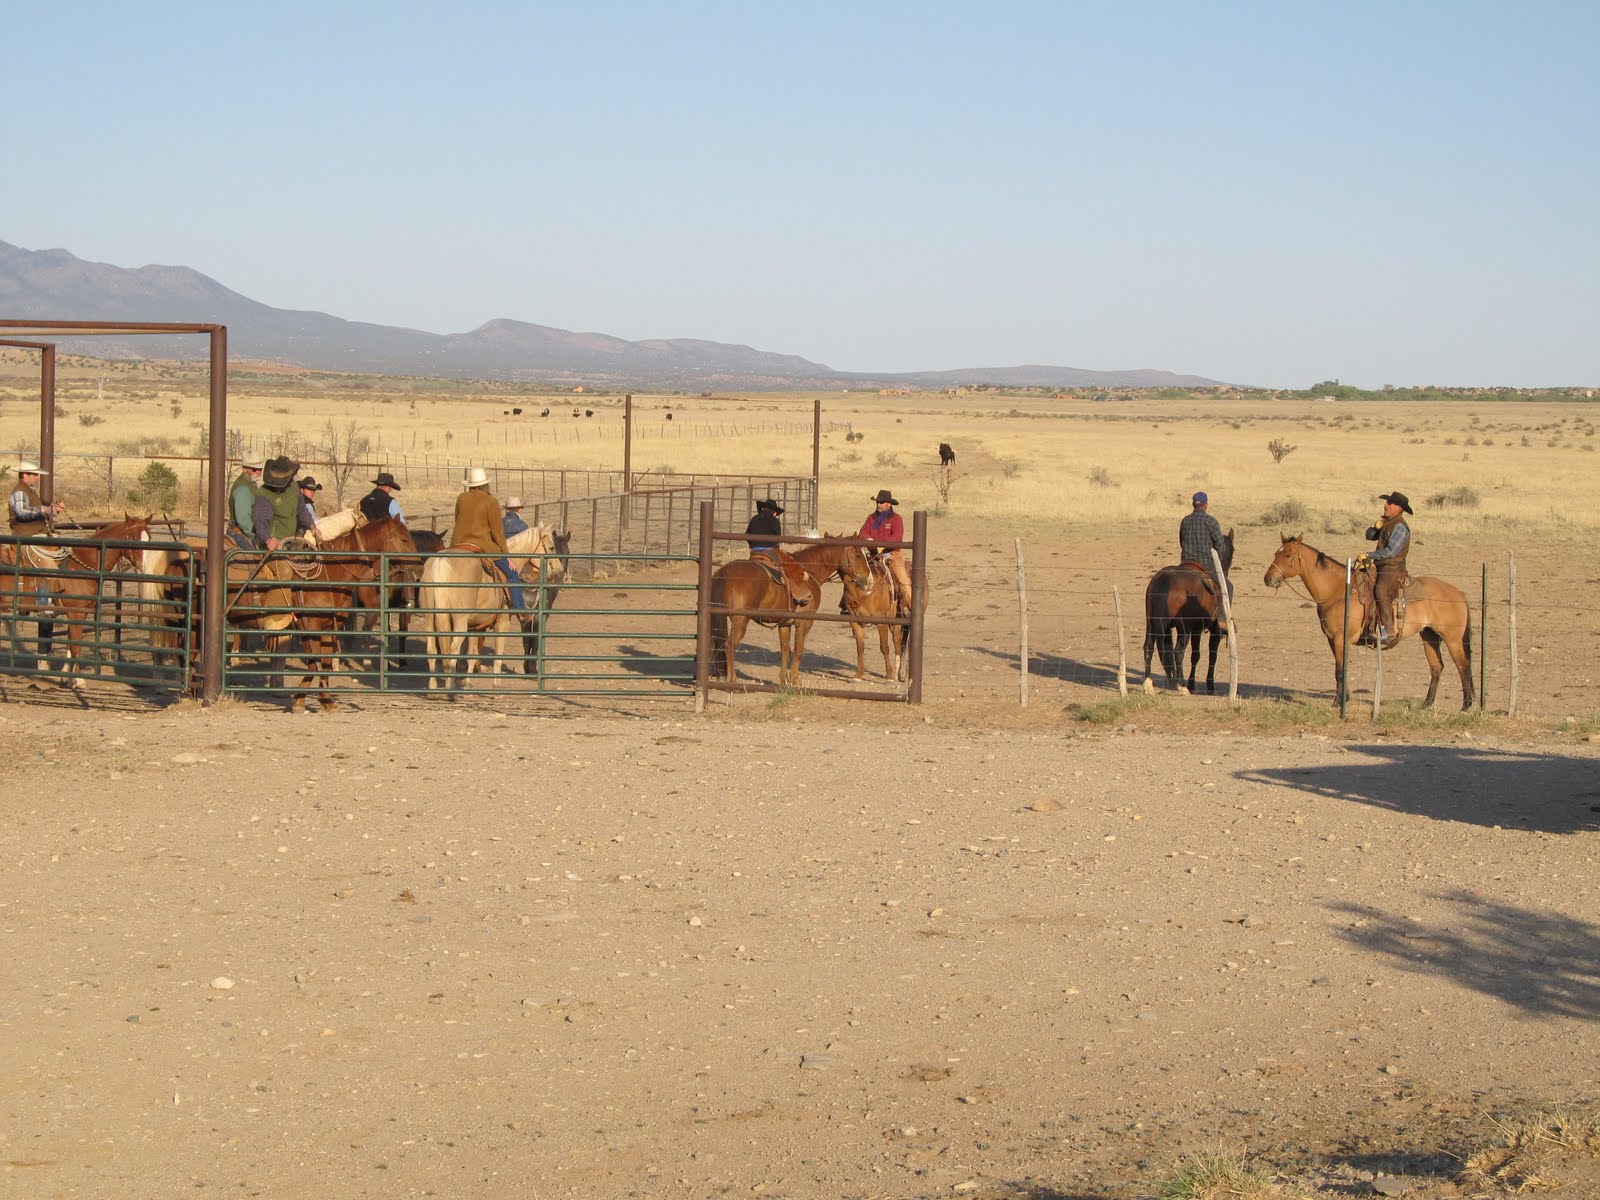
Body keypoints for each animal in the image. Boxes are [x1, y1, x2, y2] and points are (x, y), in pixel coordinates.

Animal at [418, 523, 564, 692]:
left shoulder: (475, 626)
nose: (560, 572)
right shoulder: (502, 622)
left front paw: (467, 683)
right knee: (453, 648)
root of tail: (441, 562)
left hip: (430, 619)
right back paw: (450, 688)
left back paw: (433, 689)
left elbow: (472, 653)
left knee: (431, 649)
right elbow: (498, 653)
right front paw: (496, 686)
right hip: (459, 621)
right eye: (551, 547)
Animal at [709, 537, 870, 686]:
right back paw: (732, 681)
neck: (809, 571)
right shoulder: (804, 623)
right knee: (729, 646)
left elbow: (785, 649)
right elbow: (798, 649)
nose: (868, 579)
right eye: (858, 555)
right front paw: (794, 680)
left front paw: (783, 680)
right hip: (741, 620)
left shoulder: (784, 624)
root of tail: (724, 572)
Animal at [1143, 529, 1235, 695]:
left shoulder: (1196, 629)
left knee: (1149, 647)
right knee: (1178, 652)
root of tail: (1165, 579)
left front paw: (1193, 683)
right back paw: (1182, 685)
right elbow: (1212, 656)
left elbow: (1195, 655)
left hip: (1152, 623)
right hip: (1183, 628)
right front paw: (1209, 685)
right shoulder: (1215, 631)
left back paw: (1148, 684)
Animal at [1264, 533, 1473, 711]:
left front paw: (1339, 702)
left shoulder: (1341, 638)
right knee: (1436, 667)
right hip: (1429, 636)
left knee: (1462, 665)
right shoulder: (1332, 639)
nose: (1268, 578)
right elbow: (1340, 669)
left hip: (1452, 639)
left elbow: (1340, 670)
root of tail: (1459, 594)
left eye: (1288, 554)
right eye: (1276, 553)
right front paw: (1340, 699)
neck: (1339, 591)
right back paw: (1427, 704)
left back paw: (1466, 705)